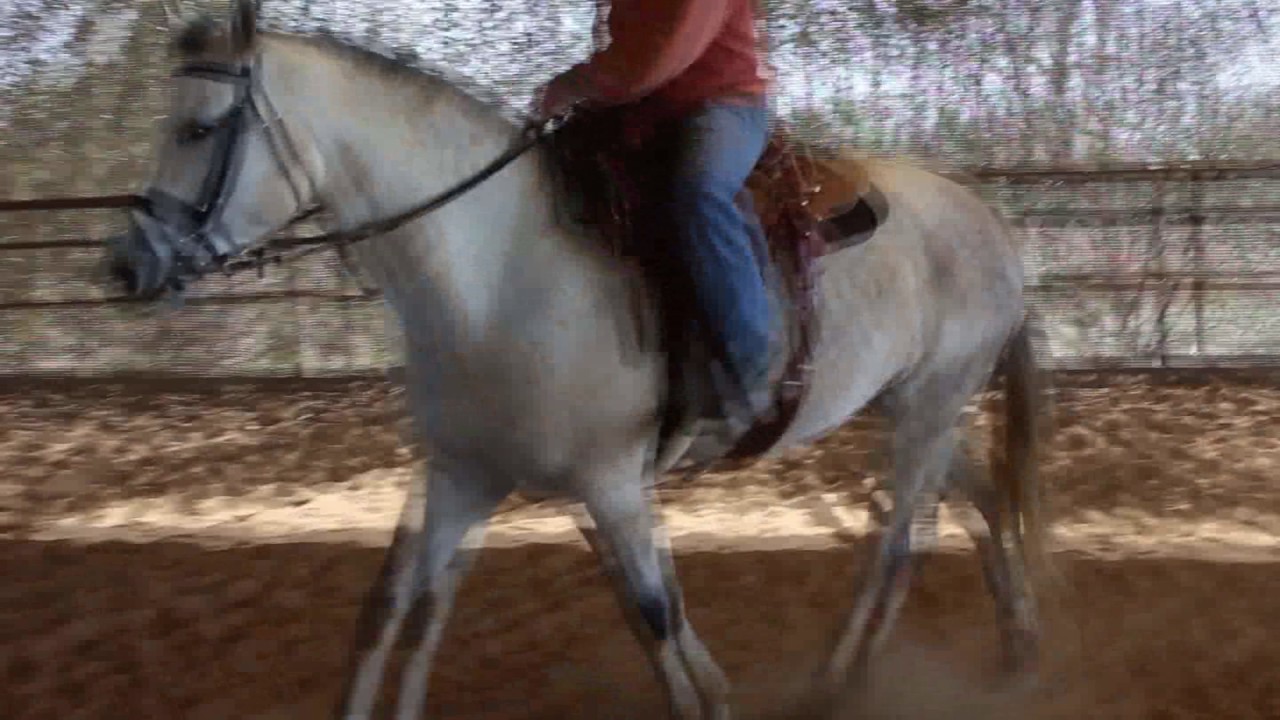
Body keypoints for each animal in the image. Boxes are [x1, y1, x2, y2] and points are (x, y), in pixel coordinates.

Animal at [106, 2, 1050, 718]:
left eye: (197, 127)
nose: (127, 265)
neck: (495, 269)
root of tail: (993, 222)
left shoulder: (610, 483)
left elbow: (655, 614)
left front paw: (709, 693)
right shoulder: (463, 475)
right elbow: (399, 608)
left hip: (929, 405)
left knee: (900, 541)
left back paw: (843, 682)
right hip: (909, 405)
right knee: (975, 500)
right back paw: (1013, 645)